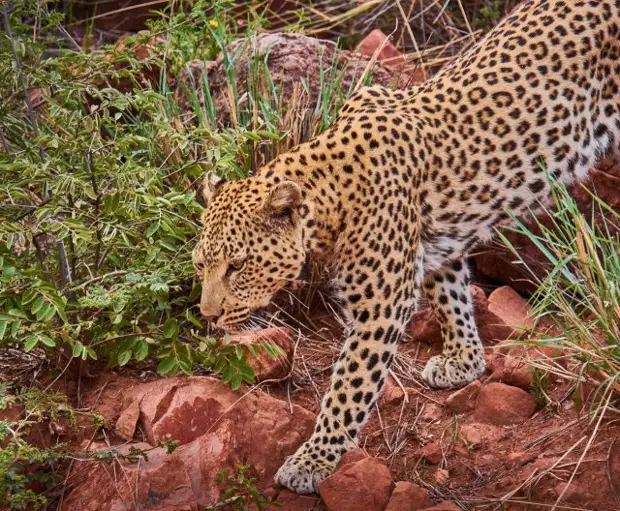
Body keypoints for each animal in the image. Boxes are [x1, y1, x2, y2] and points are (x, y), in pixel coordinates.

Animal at [191, 0, 616, 496]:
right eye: (201, 265)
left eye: (237, 266)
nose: (208, 316)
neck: (328, 192)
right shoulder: (434, 244)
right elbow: (451, 296)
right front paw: (465, 361)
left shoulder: (382, 306)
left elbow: (348, 388)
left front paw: (311, 461)